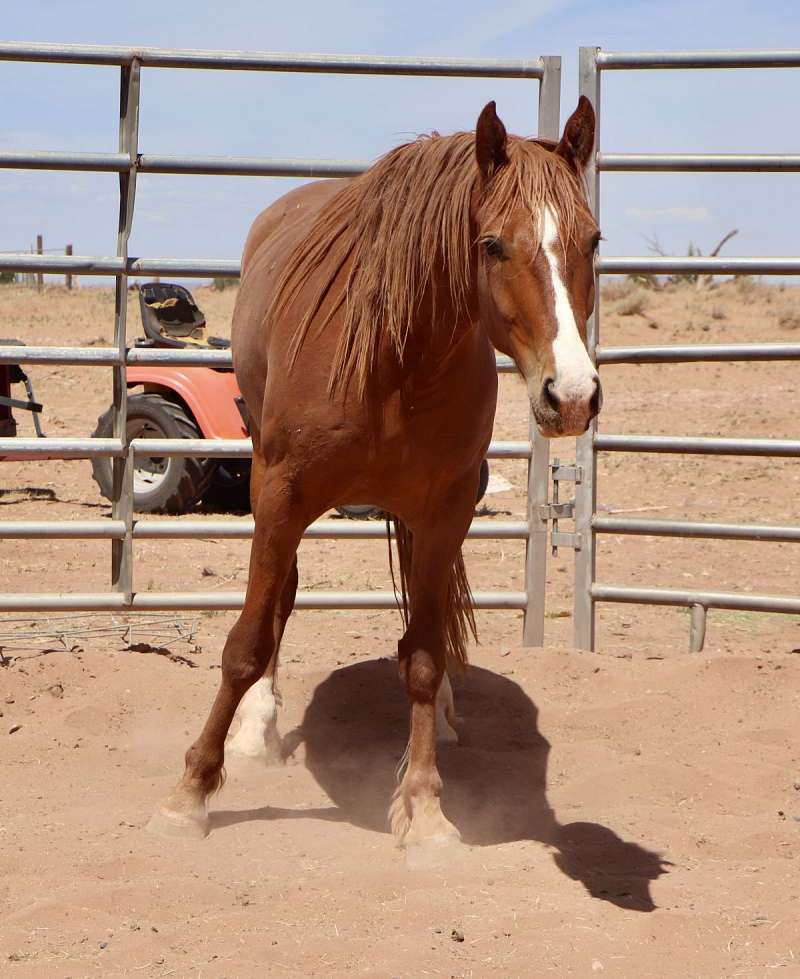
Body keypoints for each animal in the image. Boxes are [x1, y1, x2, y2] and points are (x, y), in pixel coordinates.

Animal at [148, 97, 601, 847]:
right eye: (491, 245)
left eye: (592, 241)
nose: (569, 396)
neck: (396, 361)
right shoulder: (279, 495)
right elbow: (247, 640)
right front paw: (190, 792)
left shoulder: (446, 508)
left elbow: (422, 653)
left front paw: (423, 807)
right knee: (280, 602)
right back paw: (257, 730)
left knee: (427, 619)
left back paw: (440, 716)